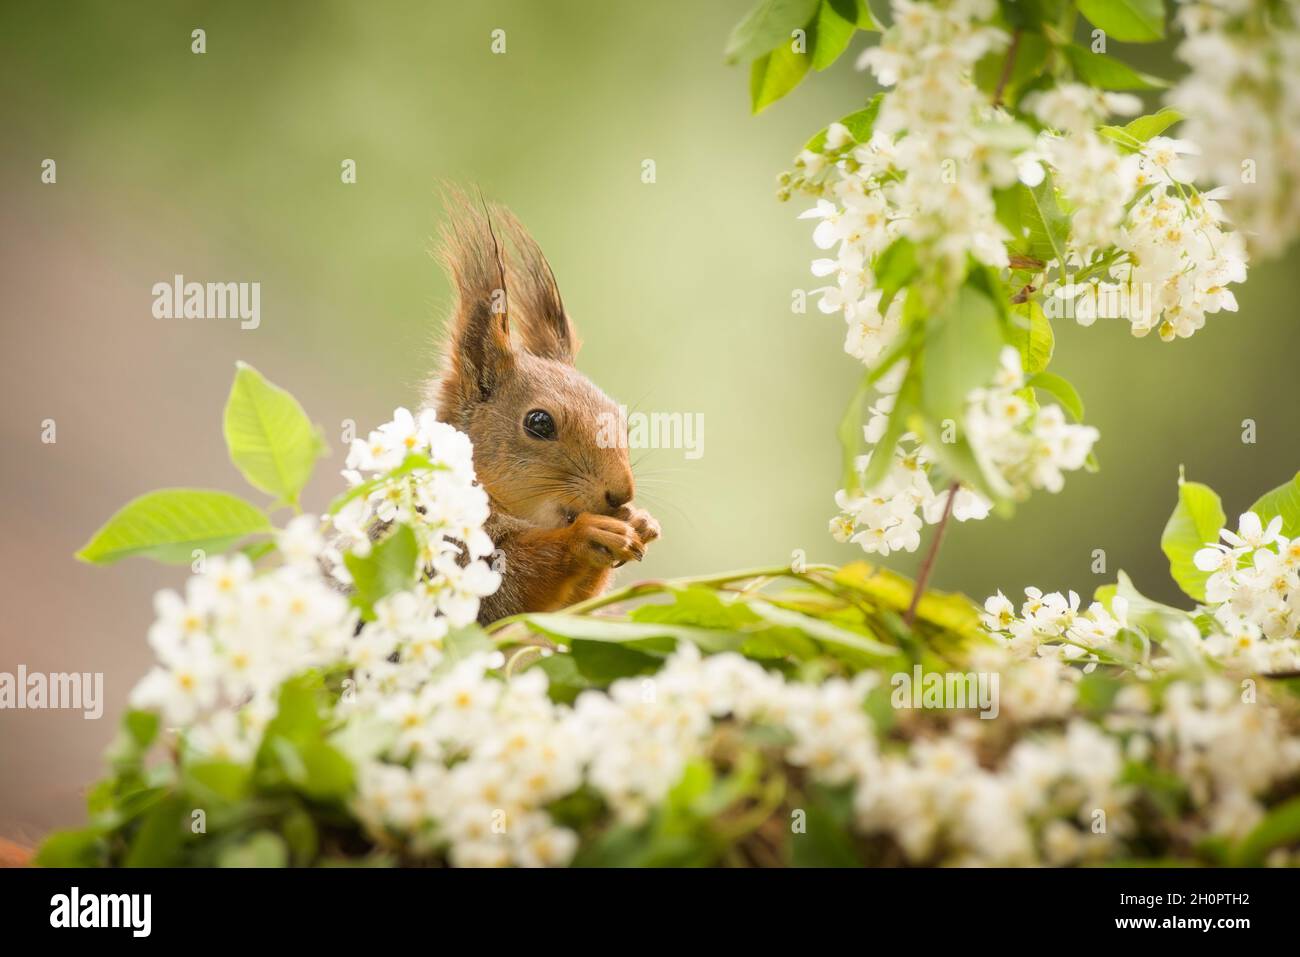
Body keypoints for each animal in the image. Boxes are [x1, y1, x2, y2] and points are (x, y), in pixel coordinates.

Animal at [423, 191, 660, 624]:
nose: (621, 493)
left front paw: (639, 521)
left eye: (625, 424)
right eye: (539, 422)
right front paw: (587, 535)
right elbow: (508, 589)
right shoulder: (448, 547)